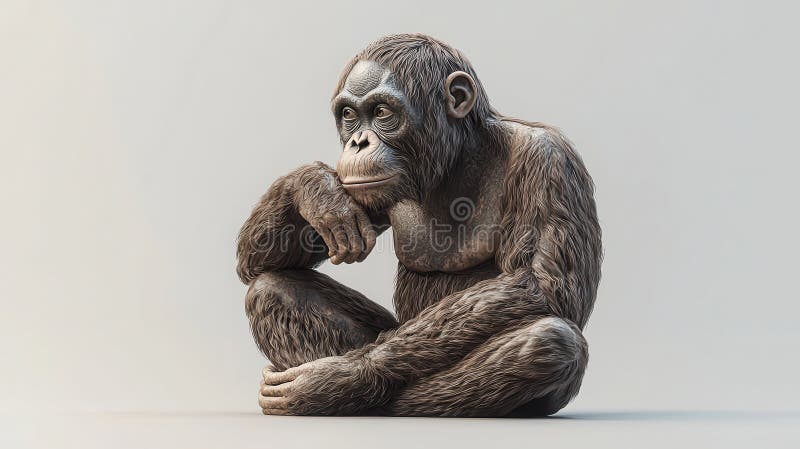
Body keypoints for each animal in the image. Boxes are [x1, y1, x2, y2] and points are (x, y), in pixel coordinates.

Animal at [236, 34, 602, 417]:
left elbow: (541, 286)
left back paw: (375, 399)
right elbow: (254, 262)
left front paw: (338, 376)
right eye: (349, 115)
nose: (358, 142)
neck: (455, 159)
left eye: (382, 112)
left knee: (551, 340)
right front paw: (317, 189)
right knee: (270, 287)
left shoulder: (551, 160)